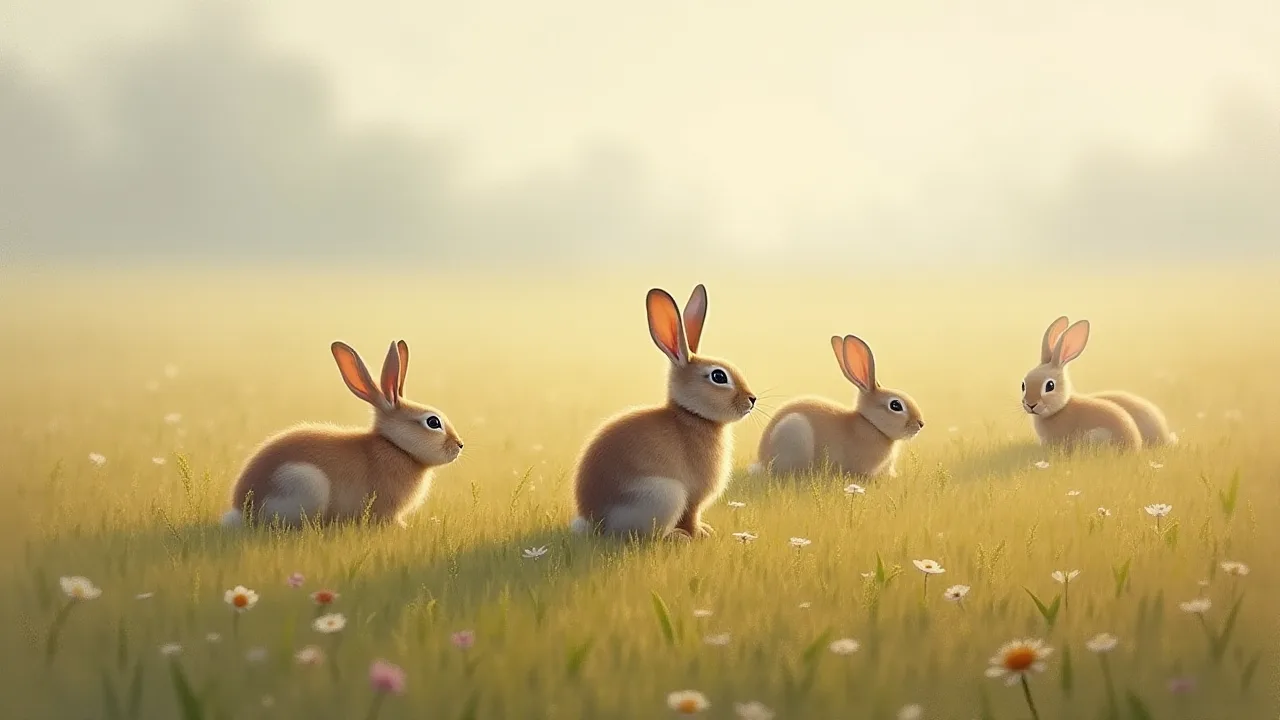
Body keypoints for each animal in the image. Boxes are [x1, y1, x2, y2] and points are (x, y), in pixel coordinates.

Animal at [220, 340, 464, 529]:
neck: (395, 446)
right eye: (433, 422)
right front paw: (403, 528)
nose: (459, 445)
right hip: (304, 484)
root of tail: (242, 510)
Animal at [569, 284, 757, 541]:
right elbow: (691, 516)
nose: (752, 400)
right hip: (665, 495)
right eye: (719, 376)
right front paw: (701, 534)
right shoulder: (693, 496)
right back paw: (676, 537)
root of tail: (596, 523)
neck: (692, 416)